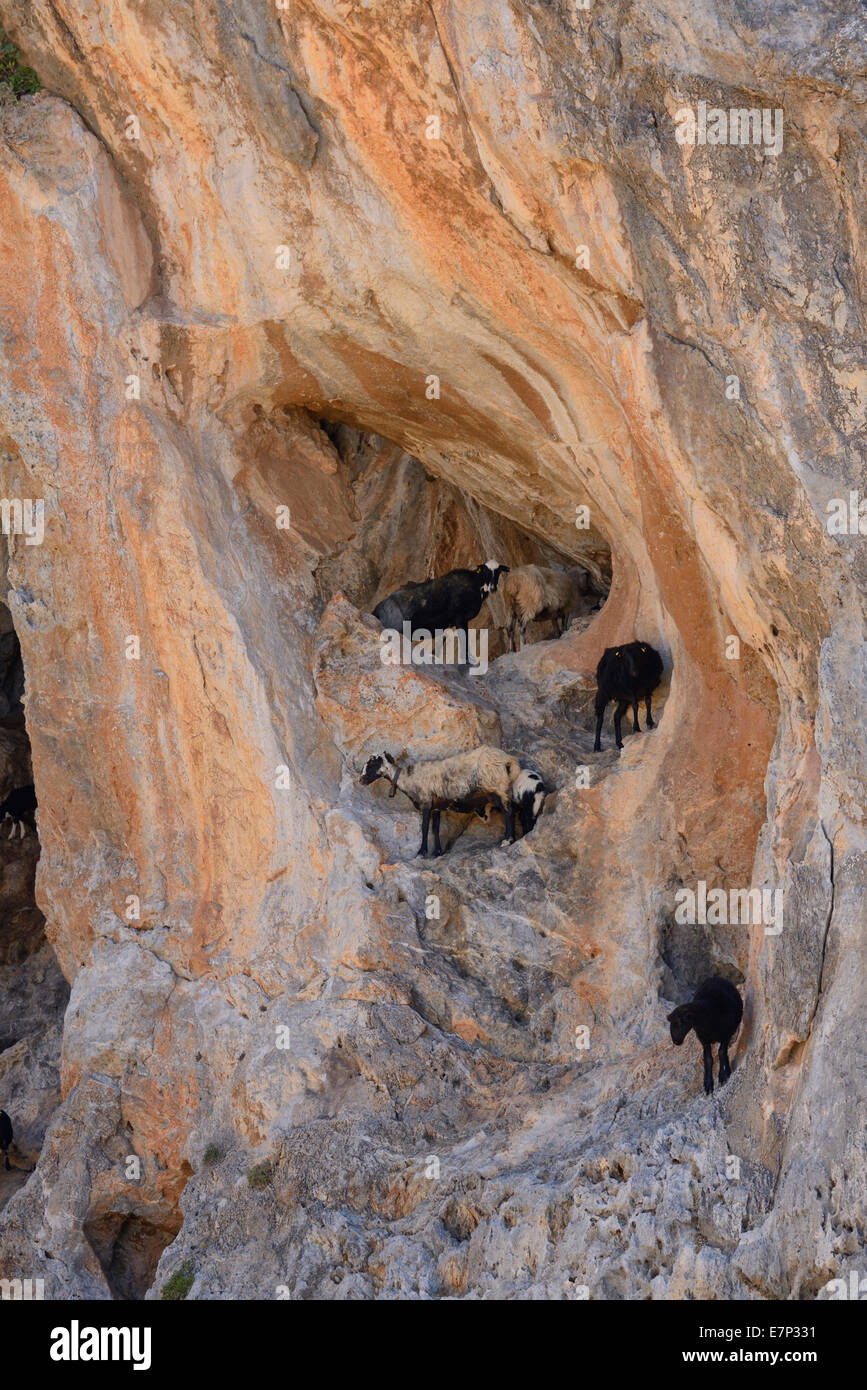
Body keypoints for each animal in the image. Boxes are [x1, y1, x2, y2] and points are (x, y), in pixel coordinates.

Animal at [360, 746, 523, 856]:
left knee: (508, 811)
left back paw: (507, 840)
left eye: (371, 764)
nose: (361, 780)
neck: (407, 779)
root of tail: (509, 760)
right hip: (503, 787)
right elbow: (435, 828)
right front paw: (437, 851)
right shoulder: (436, 807)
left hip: (495, 787)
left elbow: (425, 827)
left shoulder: (425, 803)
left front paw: (422, 852)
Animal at [373, 561, 509, 661]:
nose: (493, 588)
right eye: (485, 571)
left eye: (498, 572)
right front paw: (467, 659)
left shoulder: (447, 625)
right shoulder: (460, 618)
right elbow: (463, 638)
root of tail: (377, 609)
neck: (475, 582)